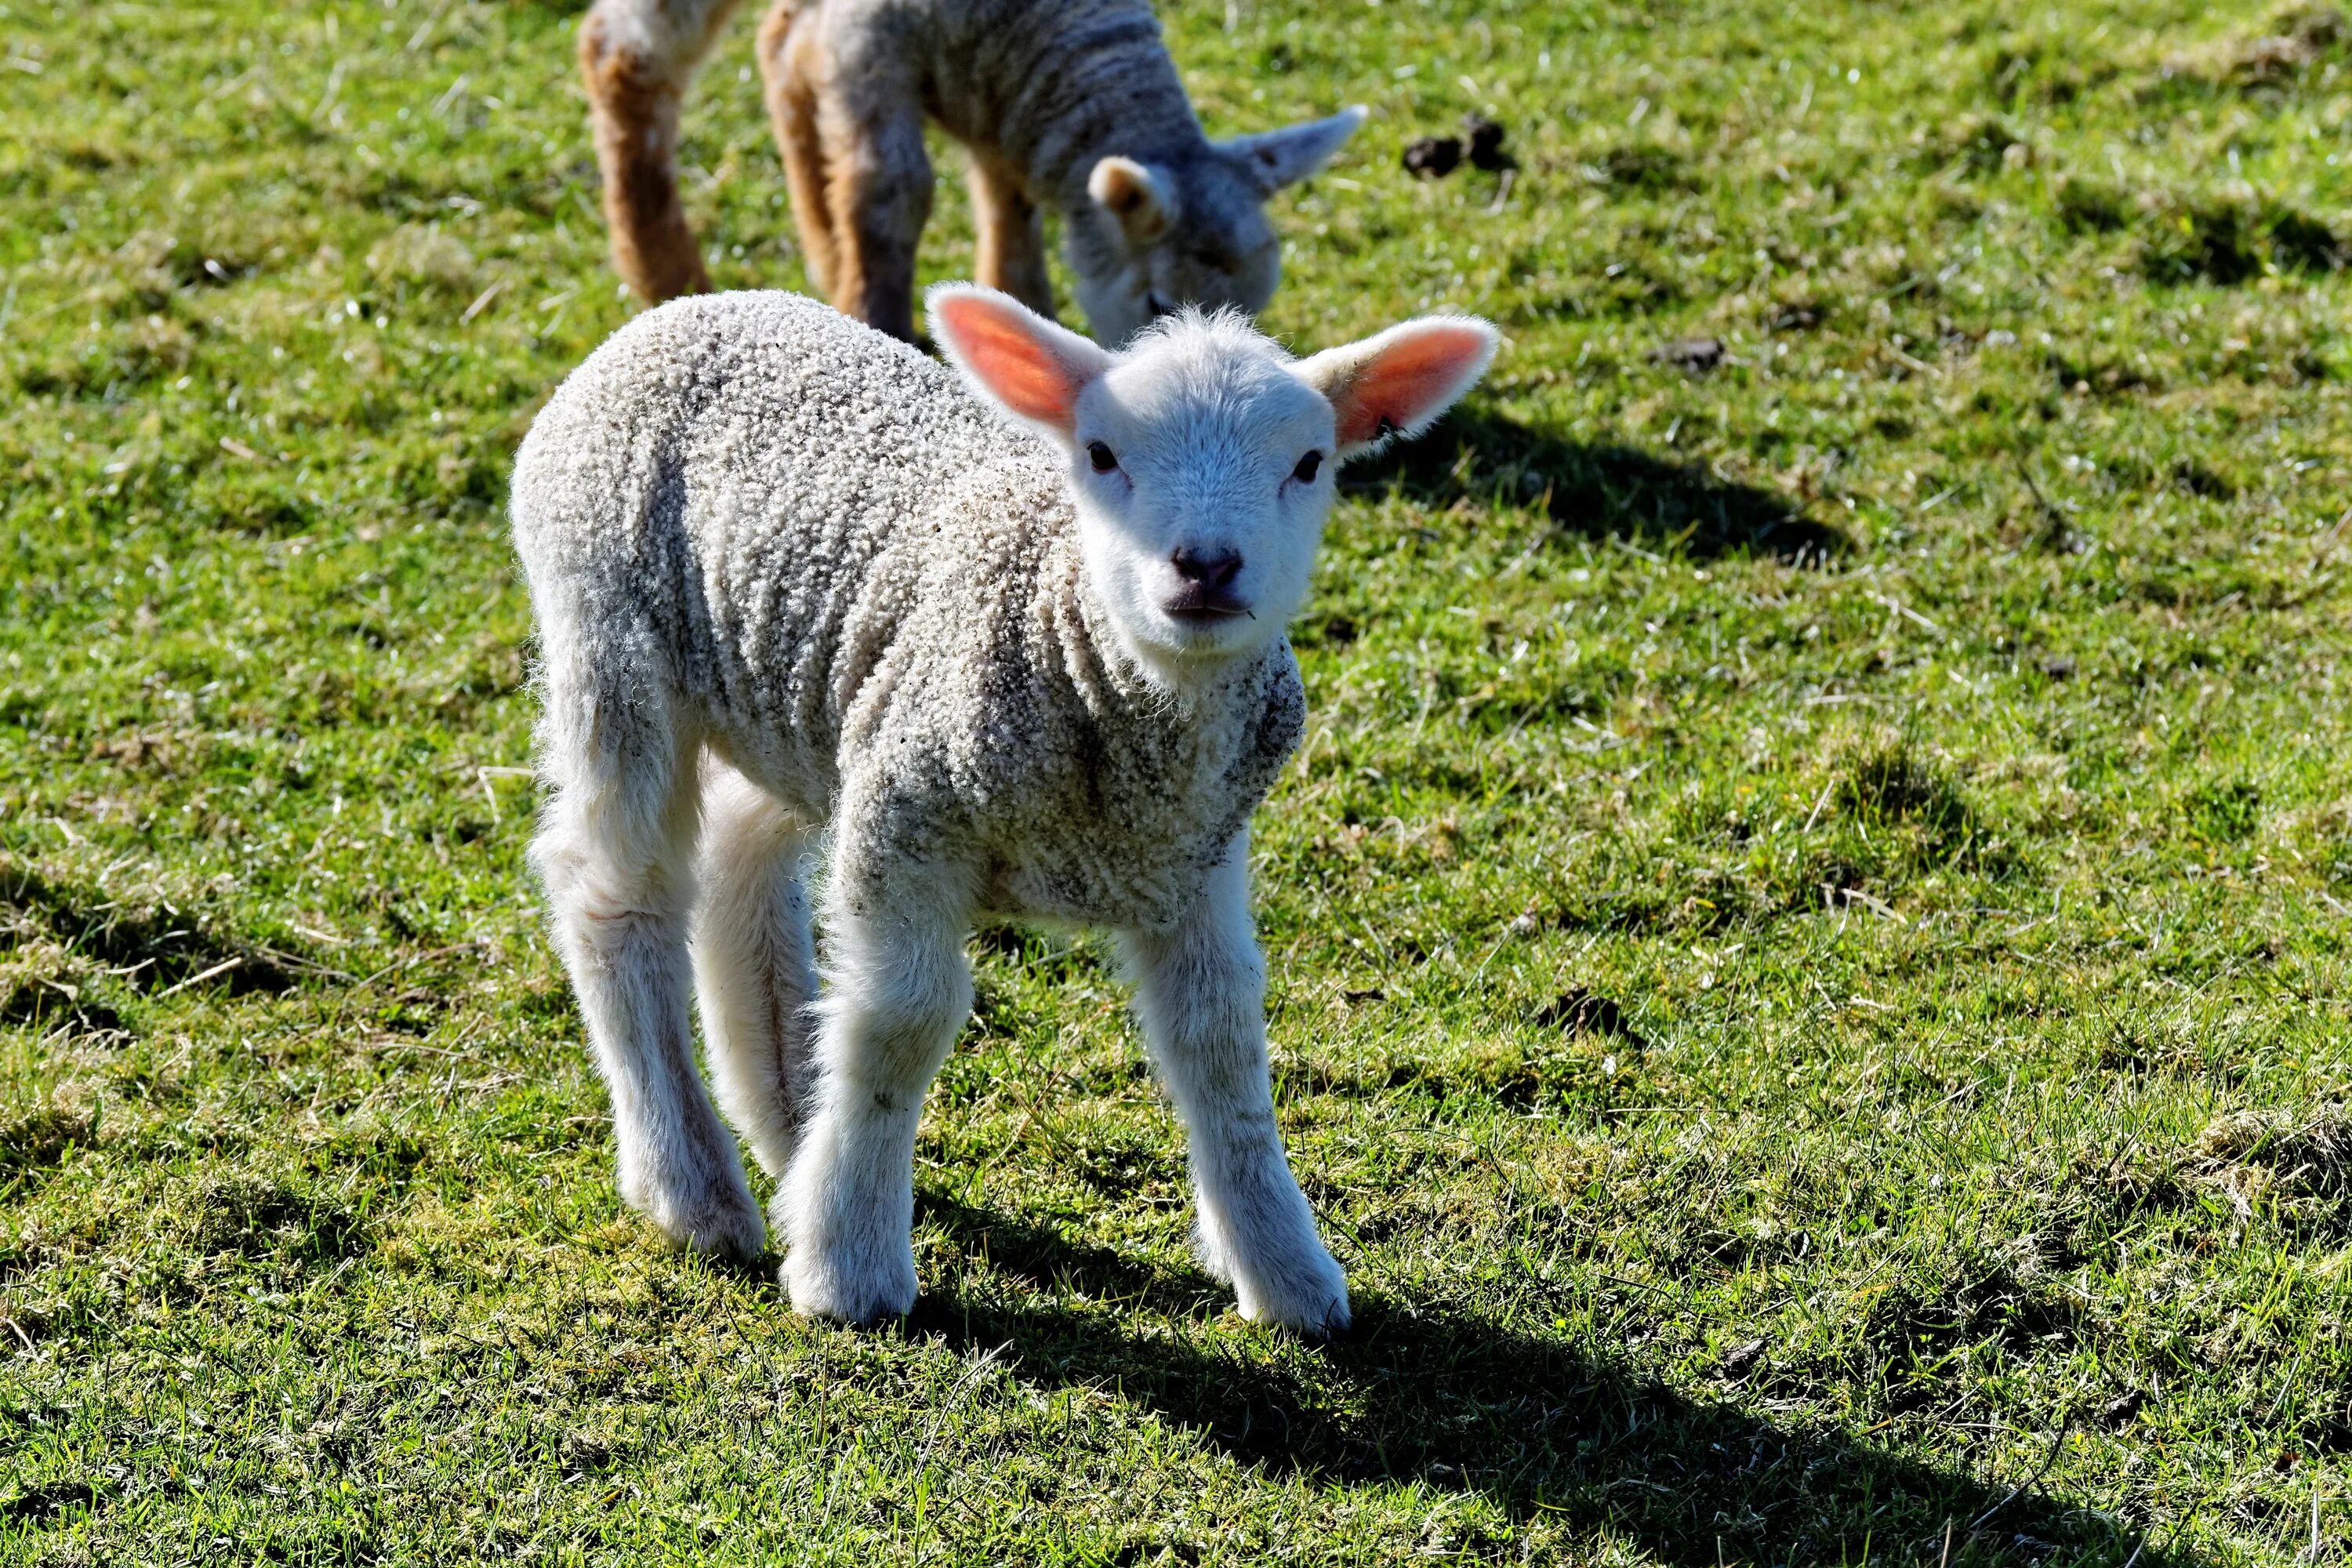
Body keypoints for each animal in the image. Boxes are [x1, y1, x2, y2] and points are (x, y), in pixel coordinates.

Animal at [515, 285, 1496, 1335]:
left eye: (1309, 462)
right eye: (1101, 454)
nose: (1204, 564)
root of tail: (689, 310)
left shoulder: (1193, 851)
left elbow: (1221, 1036)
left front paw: (1286, 1270)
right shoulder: (906, 810)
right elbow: (902, 1020)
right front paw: (850, 1265)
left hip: (810, 710)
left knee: (740, 859)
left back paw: (788, 1119)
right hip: (610, 636)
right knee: (617, 895)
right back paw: (693, 1186)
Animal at [576, 0, 1374, 340]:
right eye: (1156, 303)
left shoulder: (1000, 82)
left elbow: (1008, 189)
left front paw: (1020, 305)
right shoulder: (874, 38)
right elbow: (893, 190)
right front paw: (880, 324)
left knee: (780, 43)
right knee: (625, 50)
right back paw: (665, 270)